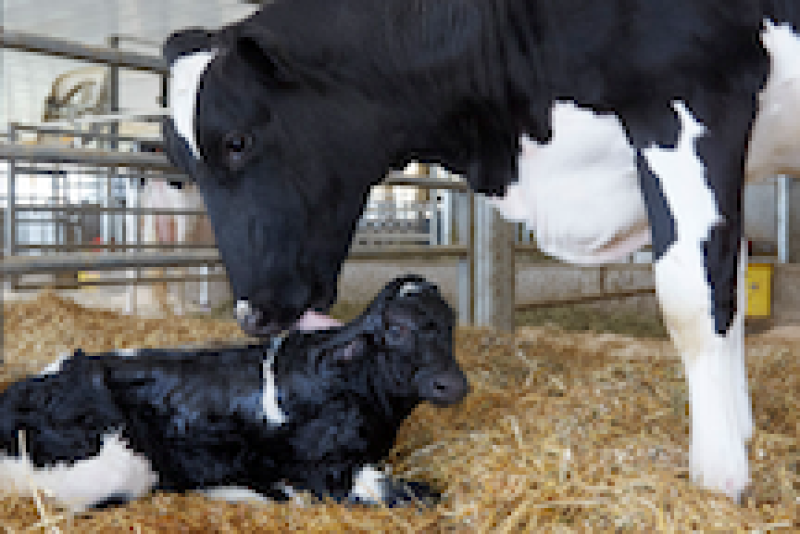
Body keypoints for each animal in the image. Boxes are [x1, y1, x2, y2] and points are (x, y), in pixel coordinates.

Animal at [0, 275, 467, 512]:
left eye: (450, 324)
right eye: (396, 328)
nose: (454, 383)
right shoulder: (327, 471)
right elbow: (416, 494)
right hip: (120, 470)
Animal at [160, 0, 800, 501]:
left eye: (237, 140)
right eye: (180, 162)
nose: (252, 314)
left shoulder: (690, 100)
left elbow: (696, 299)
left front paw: (720, 475)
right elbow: (728, 290)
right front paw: (741, 433)